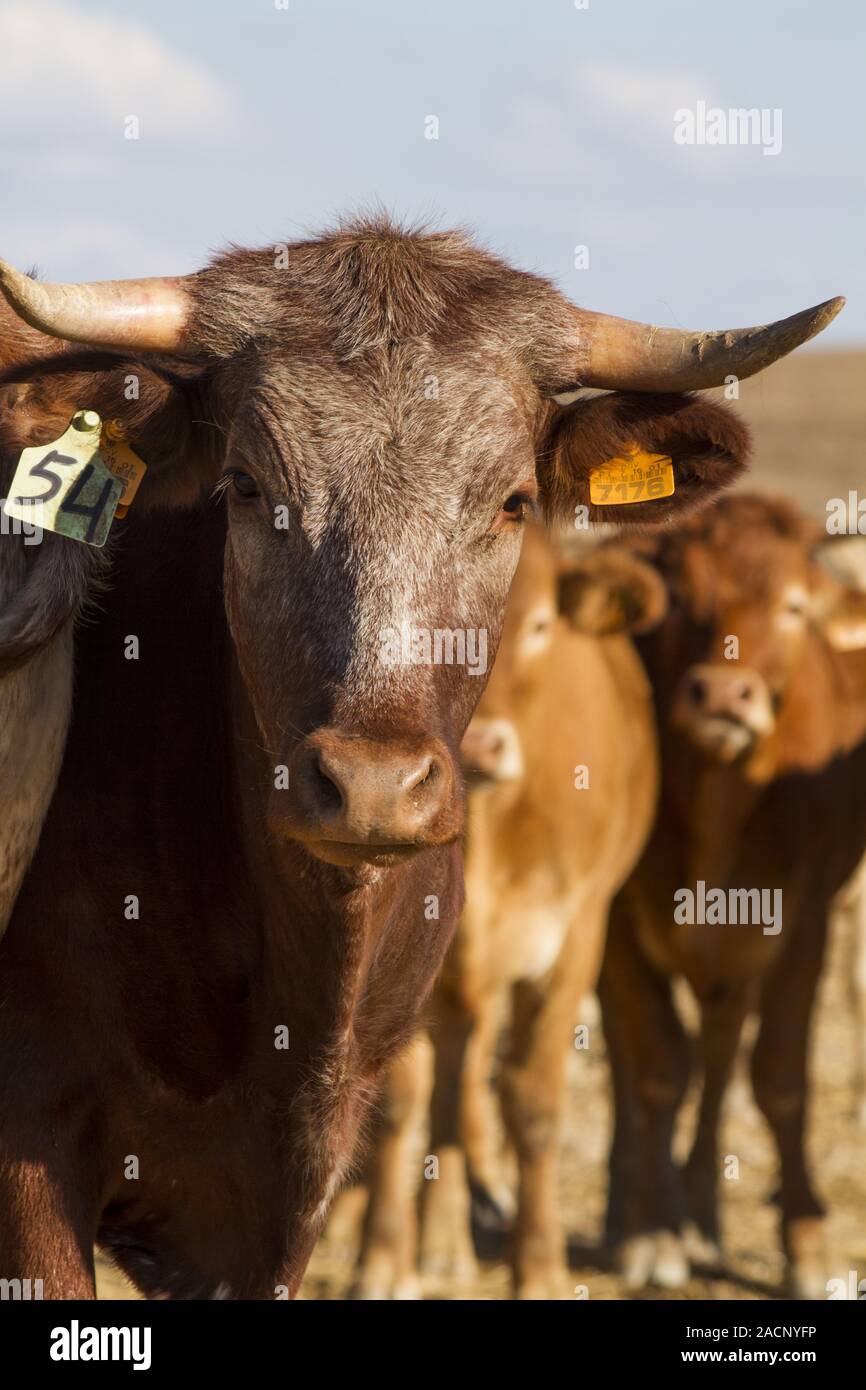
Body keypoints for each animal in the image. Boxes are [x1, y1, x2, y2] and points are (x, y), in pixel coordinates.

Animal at [349, 522, 666, 1298]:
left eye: (542, 625)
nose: (483, 744)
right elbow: (402, 1101)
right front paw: (382, 1257)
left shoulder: (573, 939)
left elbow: (533, 1106)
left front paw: (541, 1265)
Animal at [598, 494, 866, 1298]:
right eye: (681, 599)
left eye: (794, 605)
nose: (721, 693)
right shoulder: (617, 920)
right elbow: (656, 1068)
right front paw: (652, 1234)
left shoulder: (803, 923)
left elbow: (779, 1079)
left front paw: (806, 1243)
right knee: (632, 1061)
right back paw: (632, 1206)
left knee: (720, 1052)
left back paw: (705, 1209)